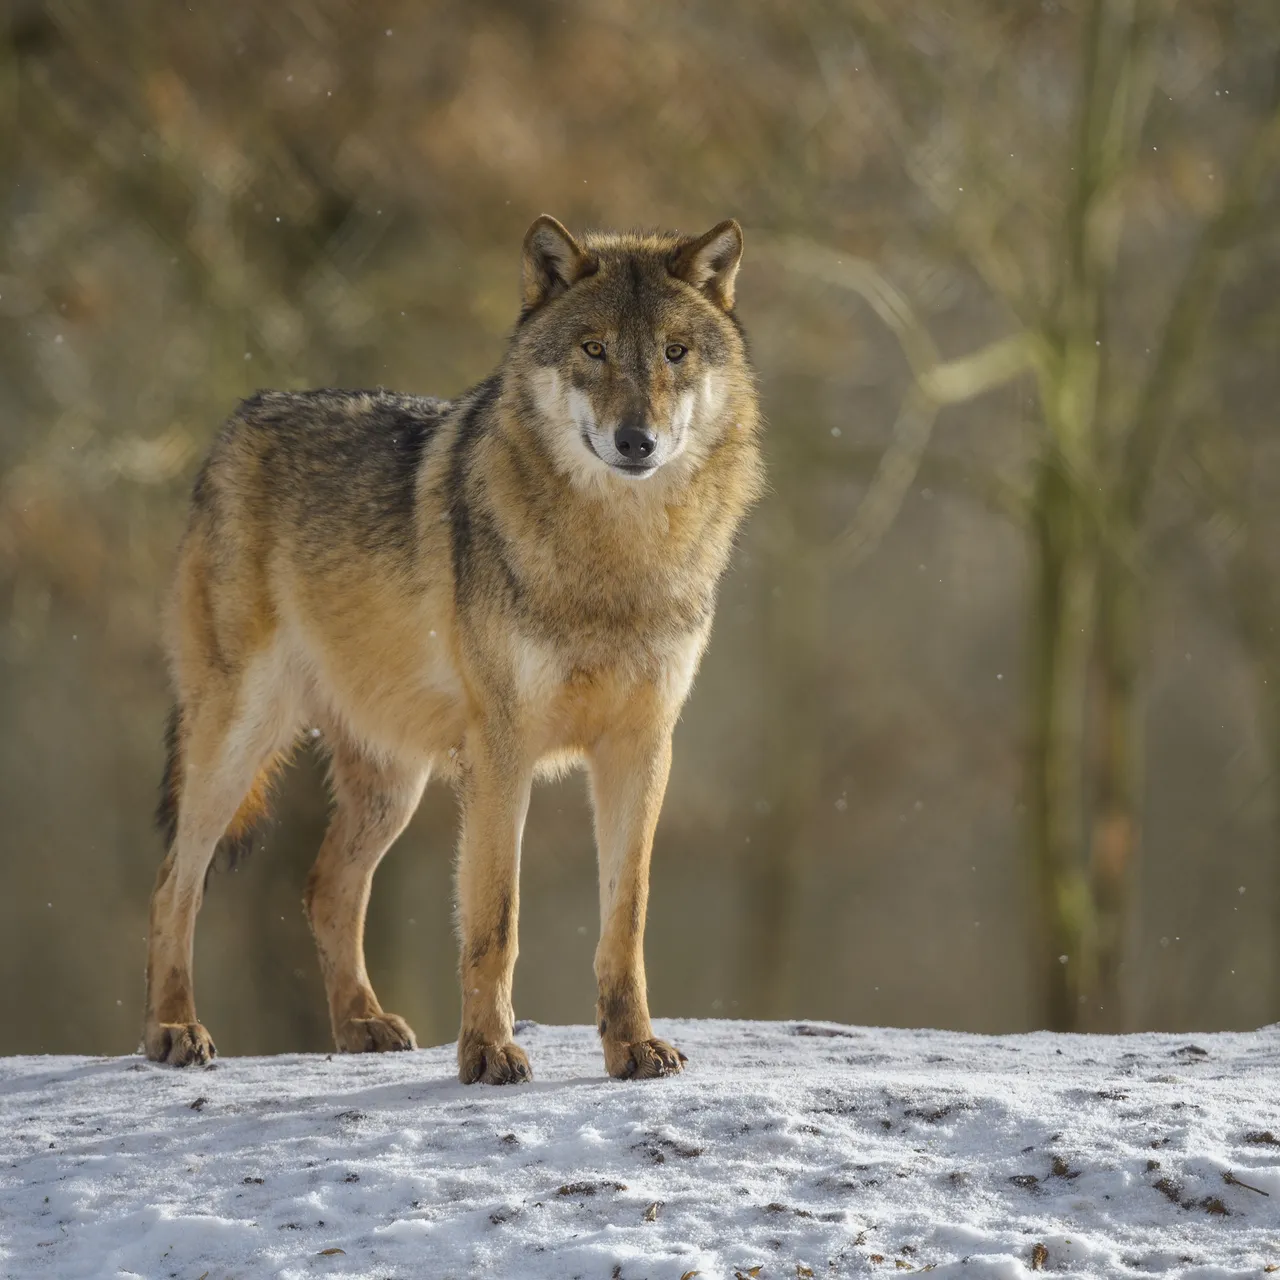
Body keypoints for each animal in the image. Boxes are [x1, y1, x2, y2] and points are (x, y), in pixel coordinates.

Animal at [144, 216, 764, 1083]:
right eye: (594, 348)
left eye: (674, 352)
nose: (636, 440)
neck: (614, 560)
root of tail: (241, 417)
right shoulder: (502, 752)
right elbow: (494, 921)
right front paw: (489, 1053)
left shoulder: (642, 746)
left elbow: (626, 919)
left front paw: (633, 1046)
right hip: (237, 741)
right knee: (176, 882)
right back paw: (173, 1030)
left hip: (392, 783)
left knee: (325, 888)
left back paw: (361, 1025)